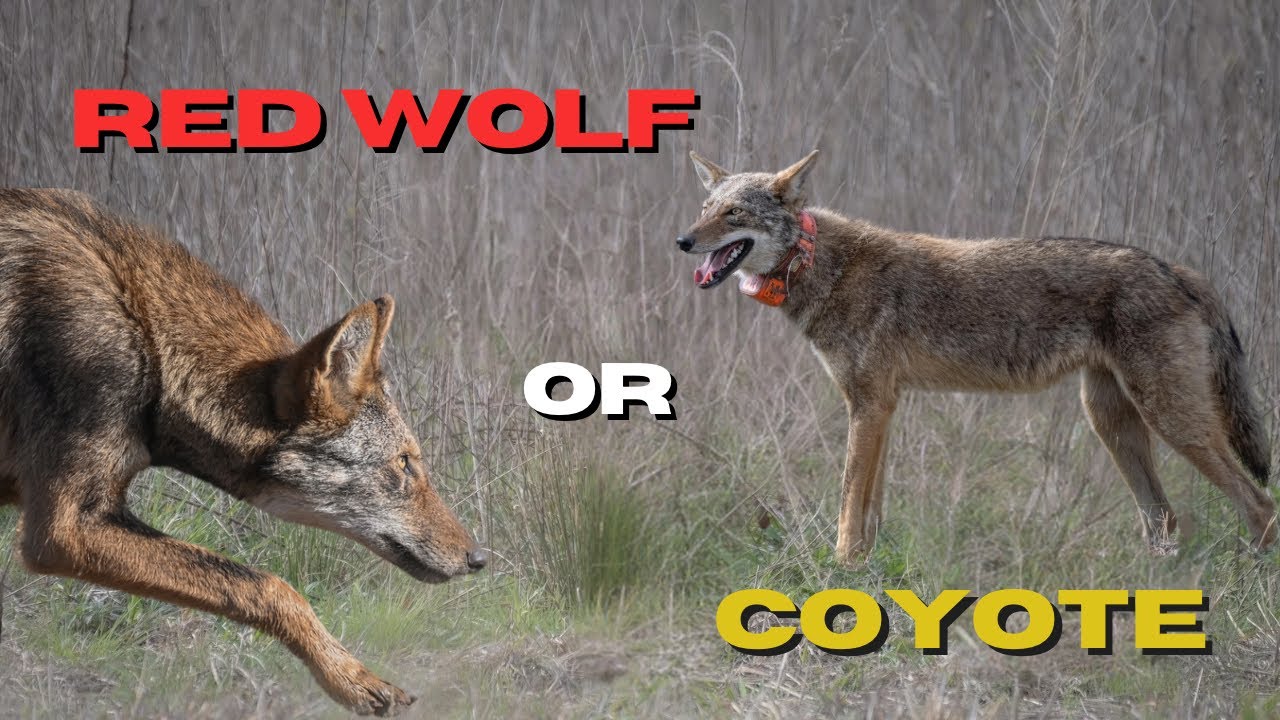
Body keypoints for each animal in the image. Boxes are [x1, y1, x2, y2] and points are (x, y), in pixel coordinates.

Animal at [0, 189, 486, 715]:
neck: (145, 331)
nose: (479, 558)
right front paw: (353, 680)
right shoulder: (64, 528)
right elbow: (270, 587)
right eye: (404, 463)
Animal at [677, 151, 1275, 566]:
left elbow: (849, 503)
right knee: (1165, 519)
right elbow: (870, 508)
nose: (682, 240)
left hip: (1171, 421)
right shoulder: (881, 408)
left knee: (1259, 504)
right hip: (1113, 424)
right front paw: (866, 571)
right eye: (706, 209)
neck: (822, 265)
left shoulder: (868, 407)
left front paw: (840, 571)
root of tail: (1179, 269)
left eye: (733, 214)